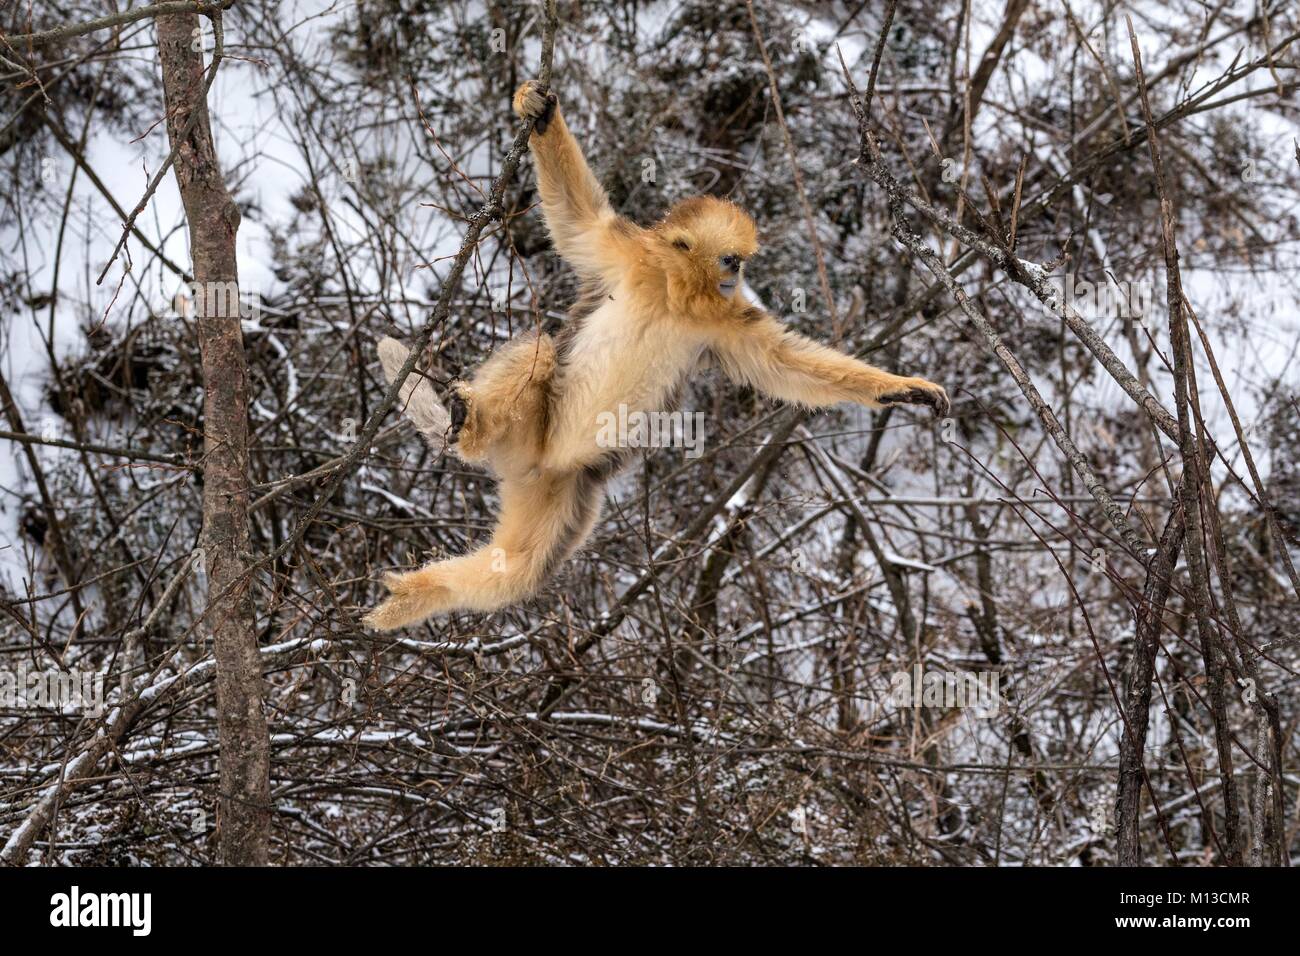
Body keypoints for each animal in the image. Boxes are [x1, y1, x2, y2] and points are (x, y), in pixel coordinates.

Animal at [363, 80, 948, 631]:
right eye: (730, 259)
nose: (737, 276)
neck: (674, 294)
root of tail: (528, 462)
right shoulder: (627, 255)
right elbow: (578, 220)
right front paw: (540, 112)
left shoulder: (724, 322)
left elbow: (782, 362)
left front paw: (905, 389)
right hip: (530, 433)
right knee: (540, 349)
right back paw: (473, 427)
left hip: (564, 490)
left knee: (516, 571)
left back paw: (417, 594)